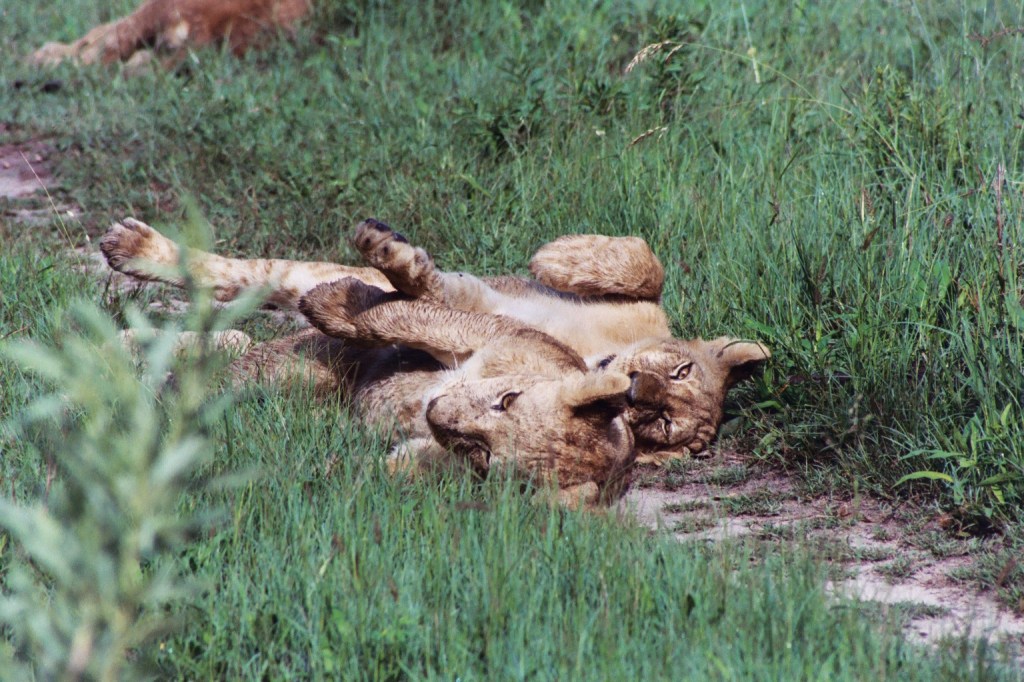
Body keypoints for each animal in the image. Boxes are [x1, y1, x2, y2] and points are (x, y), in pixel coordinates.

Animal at [100, 218, 769, 464]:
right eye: (680, 372)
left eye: (662, 426)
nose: (637, 393)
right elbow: (644, 264)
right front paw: (560, 254)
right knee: (260, 278)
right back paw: (131, 249)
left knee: (236, 332)